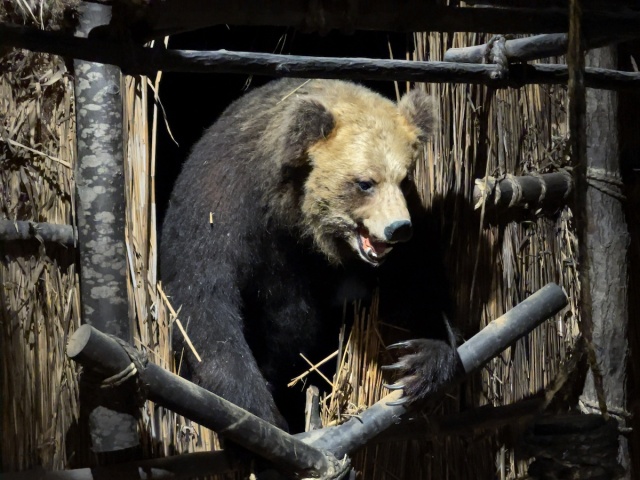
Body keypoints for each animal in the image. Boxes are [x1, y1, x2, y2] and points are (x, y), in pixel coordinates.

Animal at [160, 78, 458, 432]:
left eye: (404, 178)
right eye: (364, 183)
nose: (398, 229)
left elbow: (422, 280)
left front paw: (418, 362)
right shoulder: (224, 206)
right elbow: (203, 305)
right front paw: (261, 412)